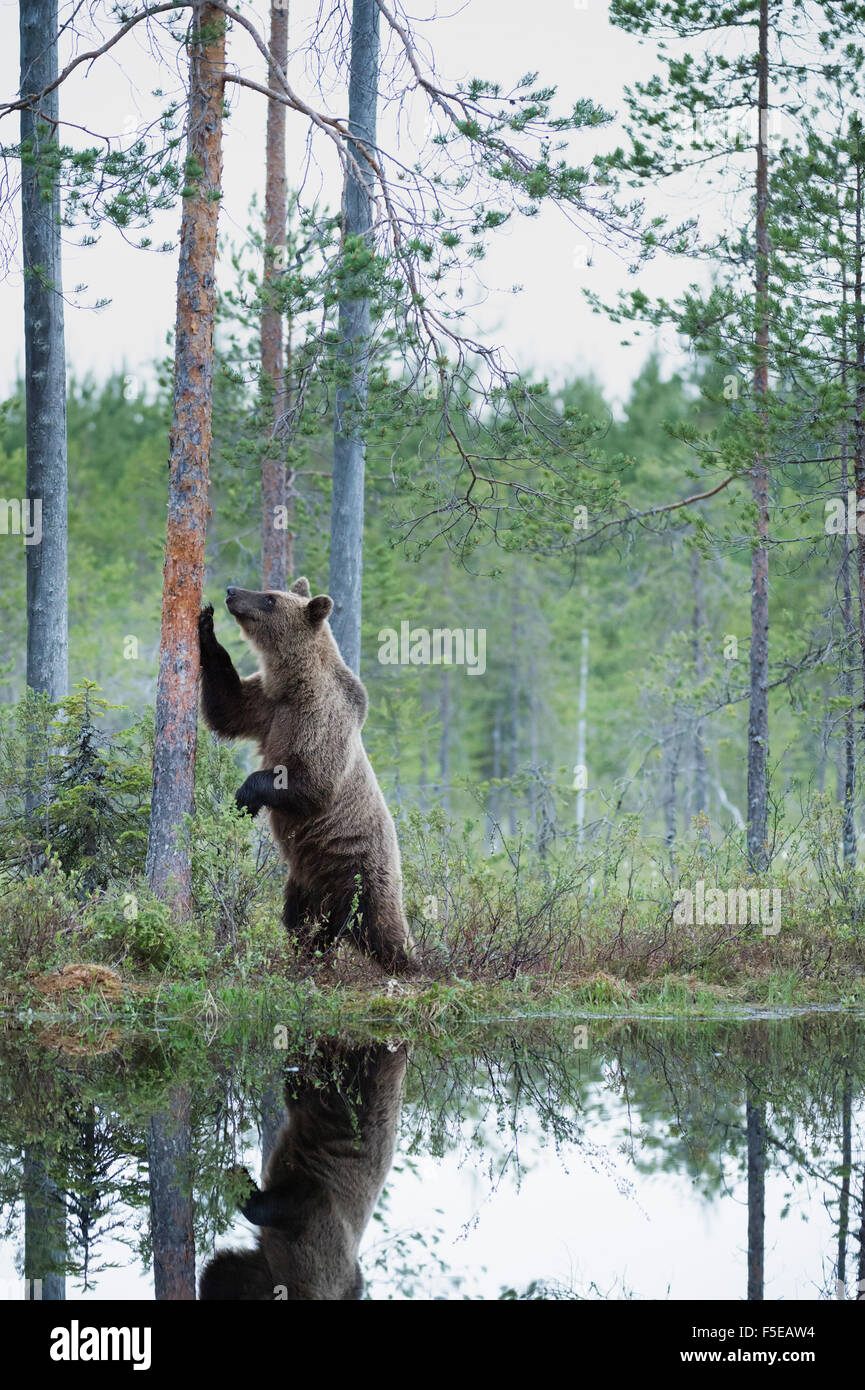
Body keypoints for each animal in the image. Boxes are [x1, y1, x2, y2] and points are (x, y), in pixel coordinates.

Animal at [197, 578, 417, 974]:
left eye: (270, 599)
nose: (232, 591)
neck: (296, 684)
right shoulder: (268, 705)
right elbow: (227, 707)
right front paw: (206, 625)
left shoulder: (319, 723)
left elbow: (311, 783)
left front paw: (244, 799)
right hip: (307, 878)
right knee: (300, 917)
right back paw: (306, 952)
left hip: (358, 870)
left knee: (373, 923)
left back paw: (406, 961)